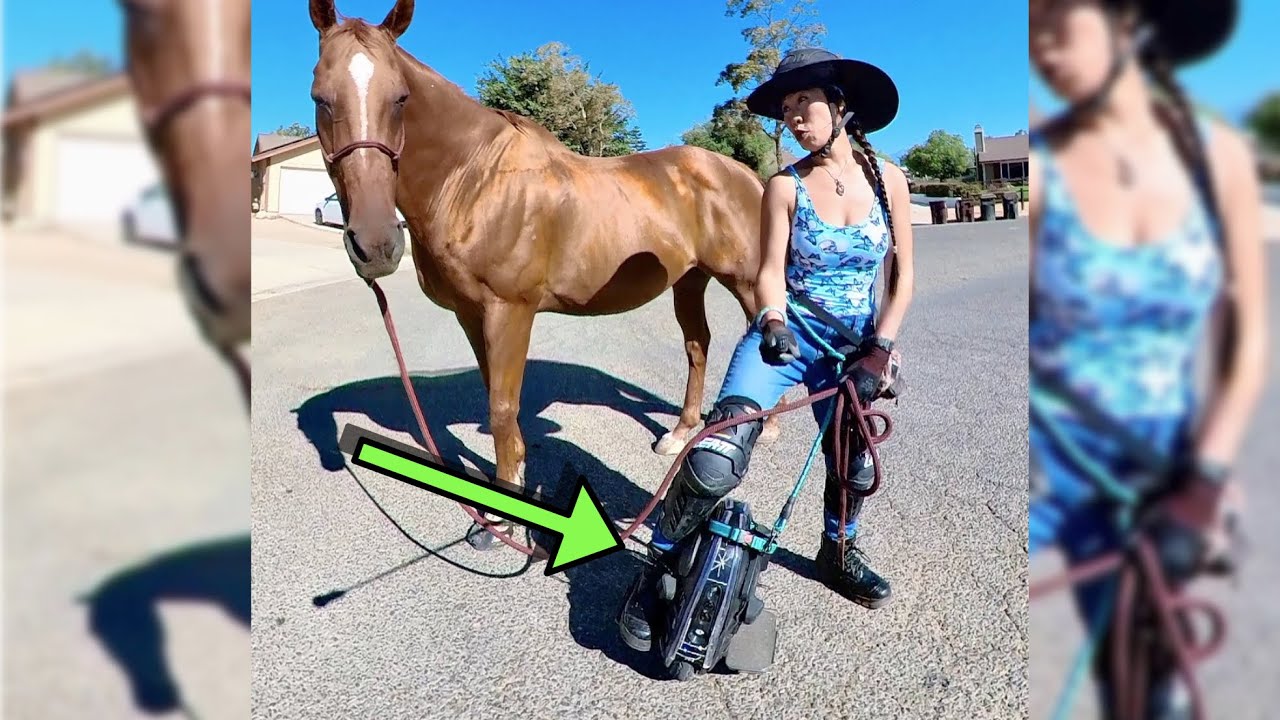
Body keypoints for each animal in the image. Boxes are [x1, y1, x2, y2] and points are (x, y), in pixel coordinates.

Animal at [307, 0, 783, 540]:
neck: (474, 178)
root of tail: (745, 174)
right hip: (689, 279)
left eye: (401, 98)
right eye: (320, 97)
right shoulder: (471, 313)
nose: (376, 245)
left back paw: (767, 425)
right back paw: (679, 434)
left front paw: (501, 515)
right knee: (697, 345)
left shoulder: (509, 310)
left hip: (745, 280)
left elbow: (503, 407)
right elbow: (496, 399)